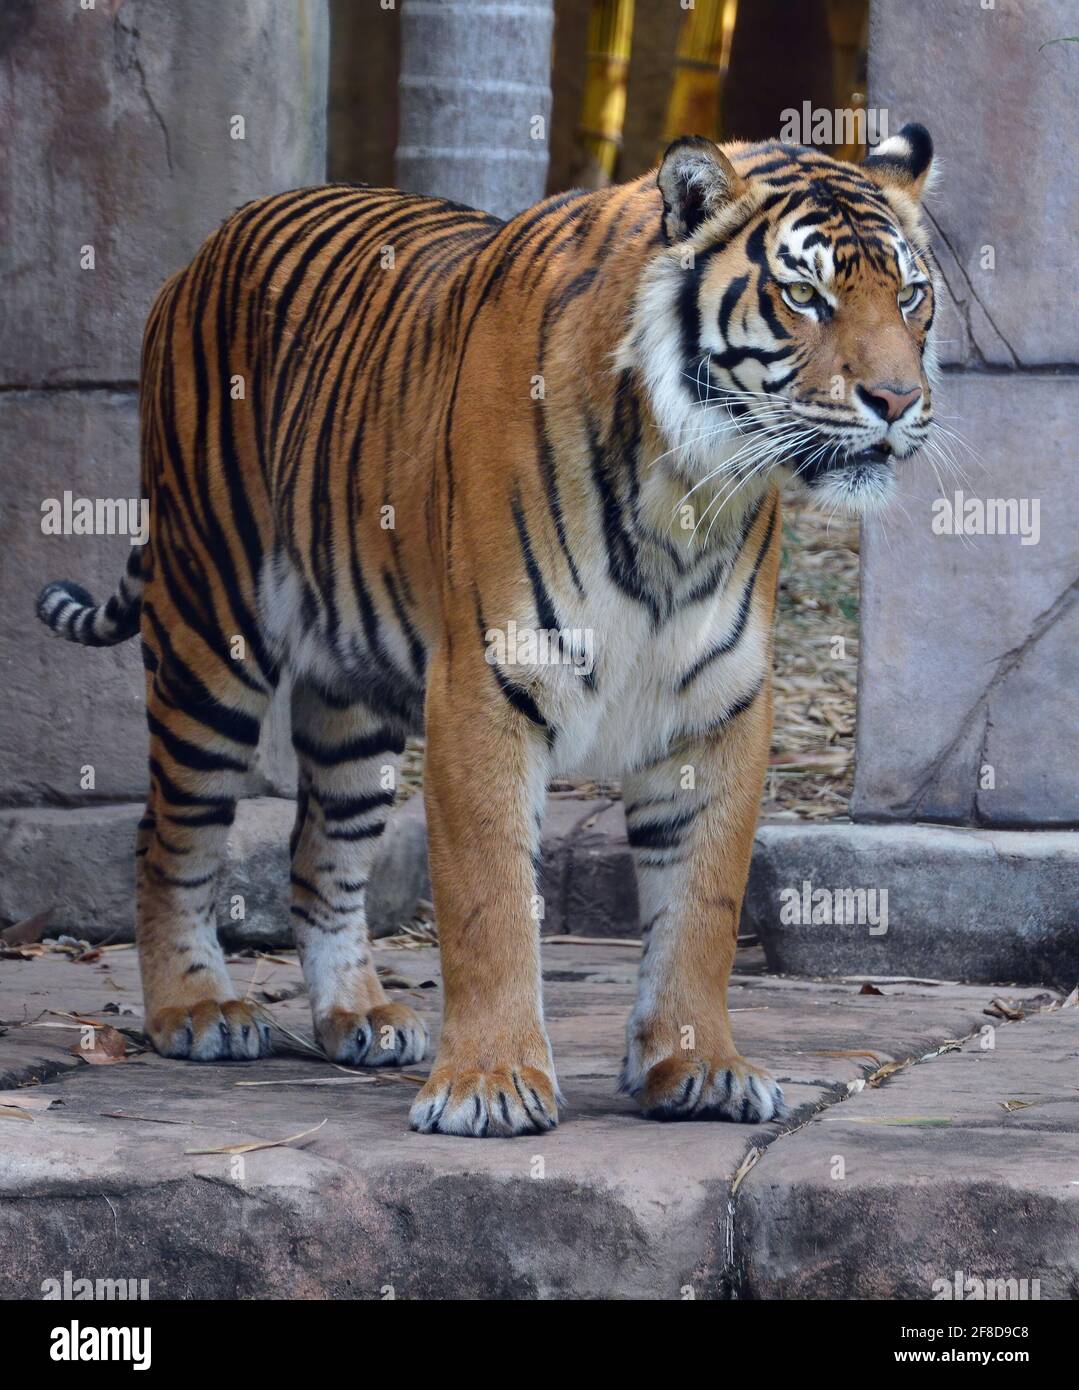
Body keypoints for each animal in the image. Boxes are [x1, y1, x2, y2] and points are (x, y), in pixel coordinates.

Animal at [37, 124, 939, 1138]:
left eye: (910, 296)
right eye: (804, 296)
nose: (897, 401)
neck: (683, 493)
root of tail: (208, 244)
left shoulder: (719, 704)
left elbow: (700, 906)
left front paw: (697, 1066)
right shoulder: (487, 685)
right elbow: (490, 902)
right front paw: (492, 1084)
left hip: (351, 700)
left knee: (319, 856)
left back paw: (359, 1016)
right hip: (208, 632)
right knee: (168, 836)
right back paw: (197, 1009)